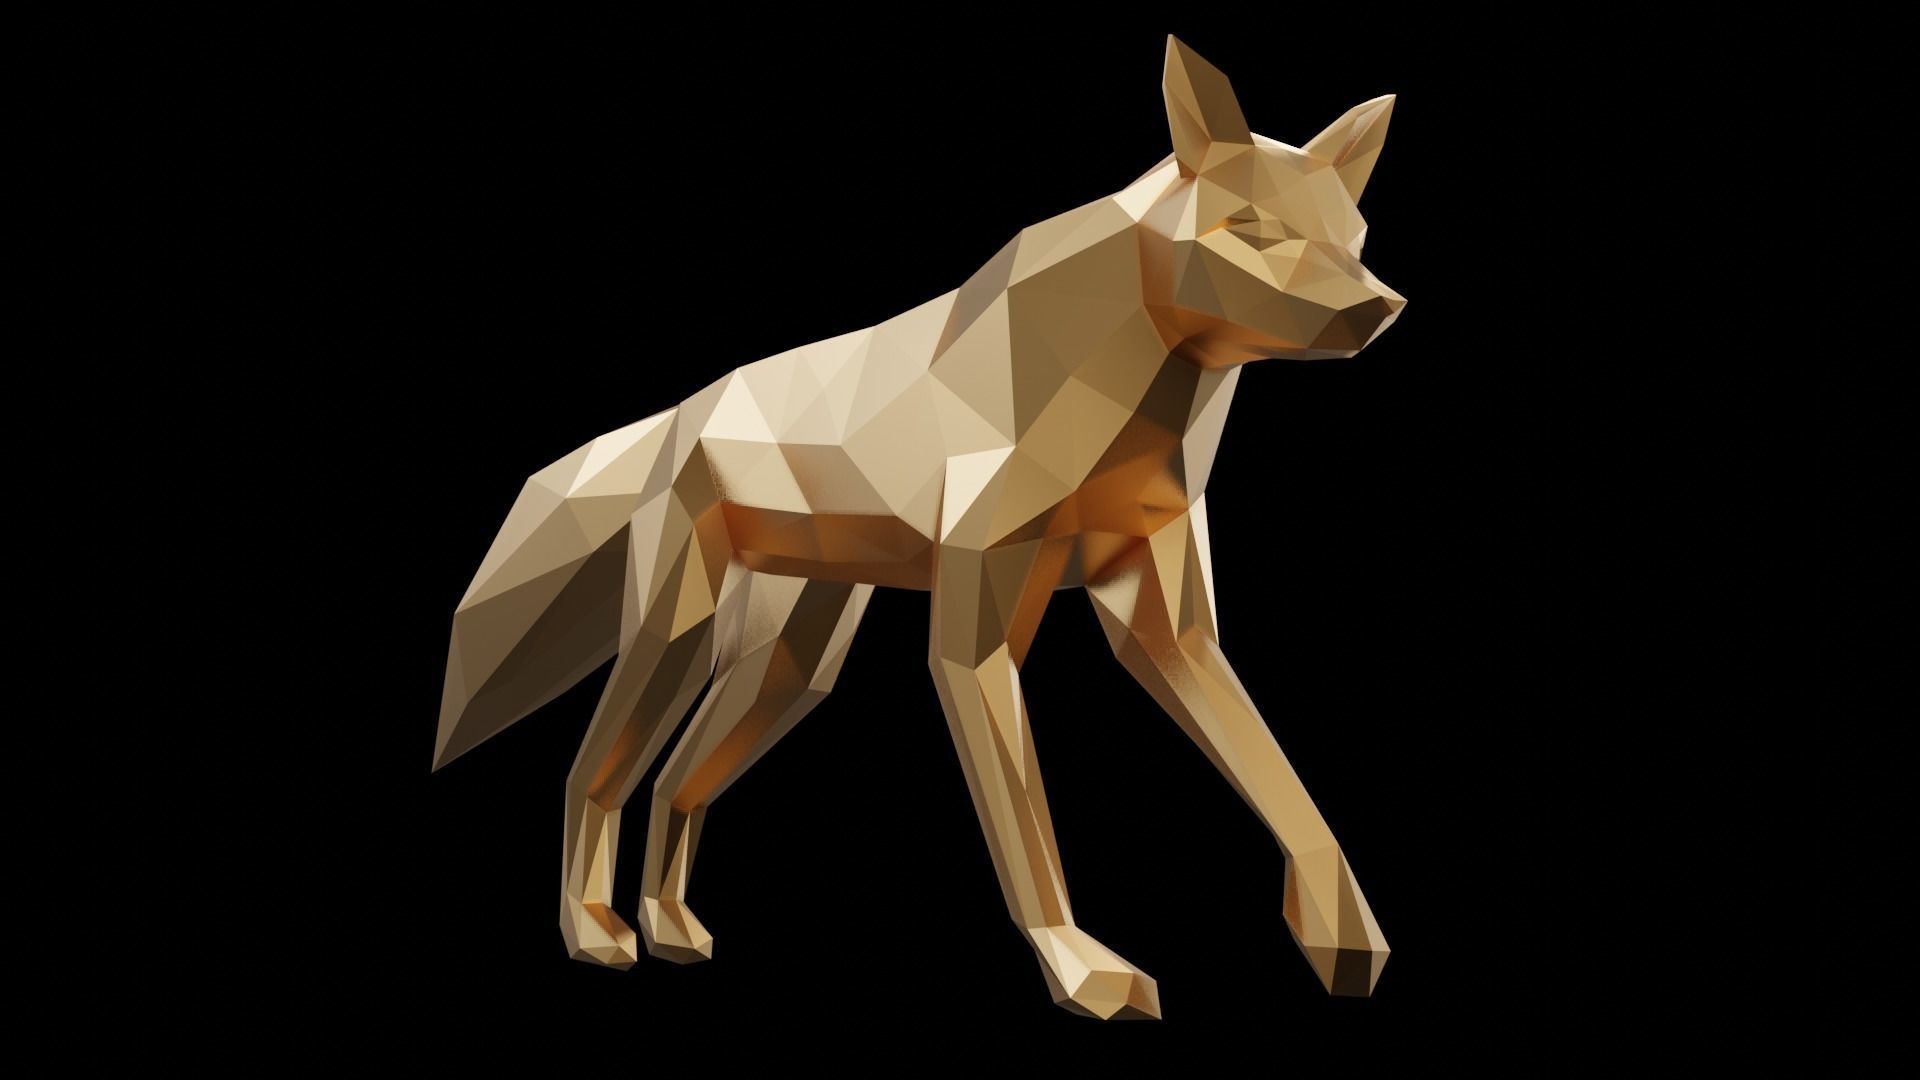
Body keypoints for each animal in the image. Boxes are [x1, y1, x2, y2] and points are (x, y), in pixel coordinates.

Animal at [434, 36, 1404, 1020]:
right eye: (1253, 227)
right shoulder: (976, 639)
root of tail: (679, 415)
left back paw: (669, 928)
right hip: (676, 640)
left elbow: (1286, 791)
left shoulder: (1168, 629)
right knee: (592, 776)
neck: (1124, 380)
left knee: (675, 784)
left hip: (786, 673)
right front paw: (1080, 967)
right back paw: (595, 932)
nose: (1379, 307)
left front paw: (1339, 927)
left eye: (1355, 239)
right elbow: (1025, 830)